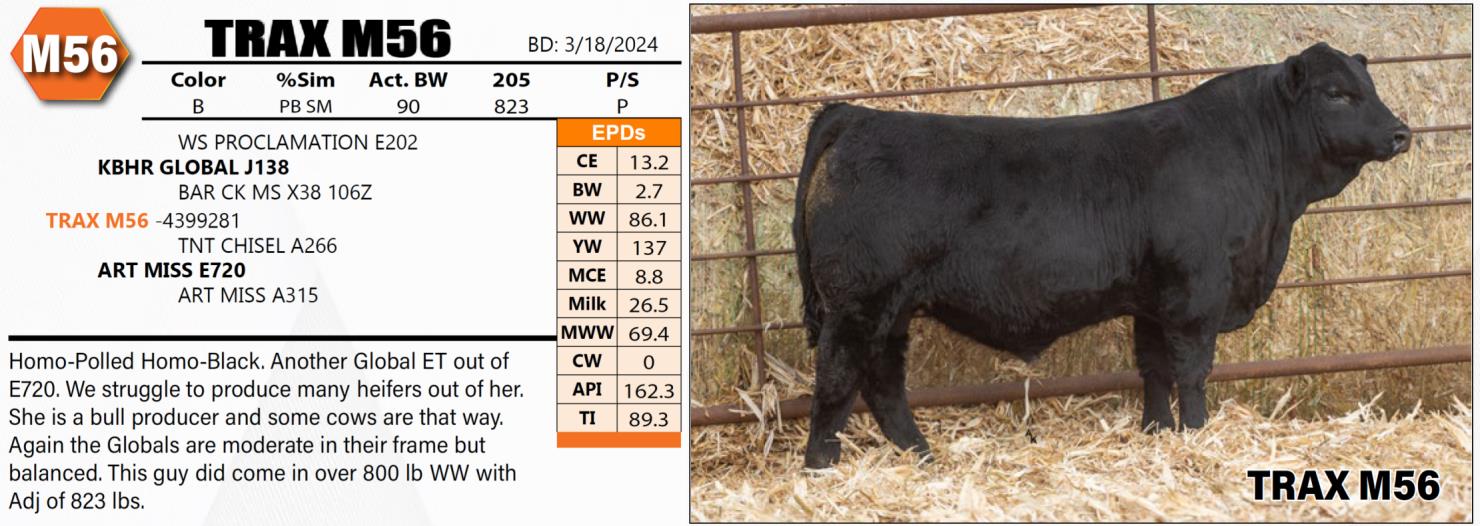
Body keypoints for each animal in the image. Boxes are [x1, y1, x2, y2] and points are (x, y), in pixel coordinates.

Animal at [792, 43, 1411, 469]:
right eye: (1335, 94)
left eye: (1370, 84)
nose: (1401, 132)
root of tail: (860, 116)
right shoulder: (1196, 295)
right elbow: (1192, 371)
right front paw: (1199, 435)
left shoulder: (1154, 301)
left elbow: (1154, 370)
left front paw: (1158, 433)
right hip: (859, 303)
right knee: (838, 378)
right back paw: (823, 465)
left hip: (891, 309)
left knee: (883, 385)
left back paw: (923, 457)